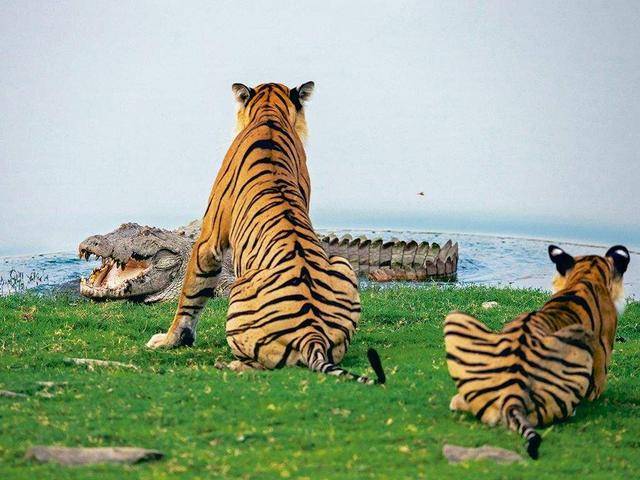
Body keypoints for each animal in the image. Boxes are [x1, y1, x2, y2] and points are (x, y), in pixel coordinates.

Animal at [146, 82, 385, 385]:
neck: (270, 112)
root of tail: (312, 336)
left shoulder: (208, 239)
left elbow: (191, 295)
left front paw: (170, 340)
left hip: (239, 291)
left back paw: (229, 364)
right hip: (342, 266)